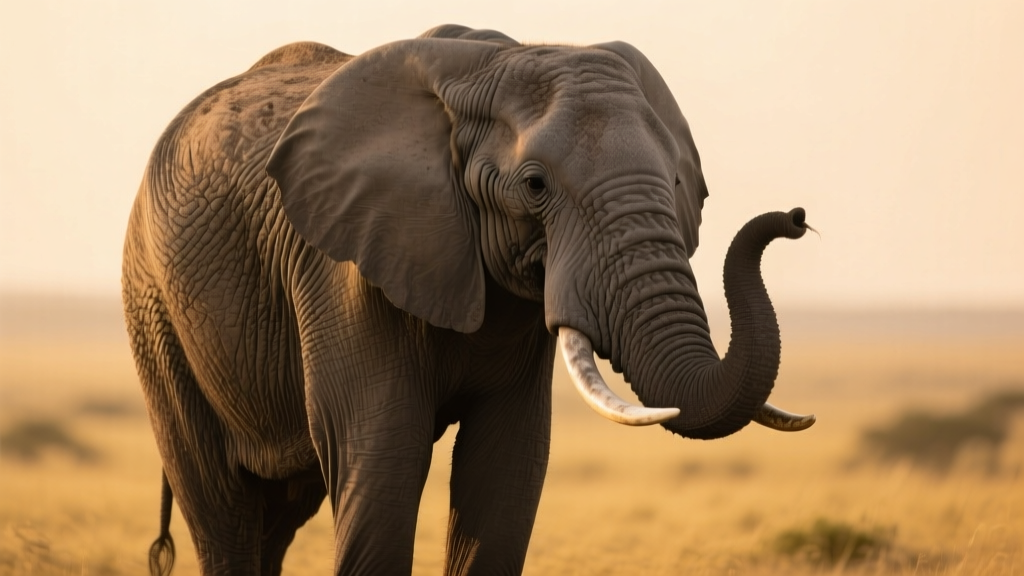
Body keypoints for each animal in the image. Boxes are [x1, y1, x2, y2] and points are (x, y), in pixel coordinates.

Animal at [122, 24, 814, 576]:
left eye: (676, 182)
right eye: (534, 186)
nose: (797, 217)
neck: (489, 62)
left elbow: (506, 466)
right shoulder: (345, 271)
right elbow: (384, 461)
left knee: (280, 514)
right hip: (154, 309)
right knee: (224, 510)